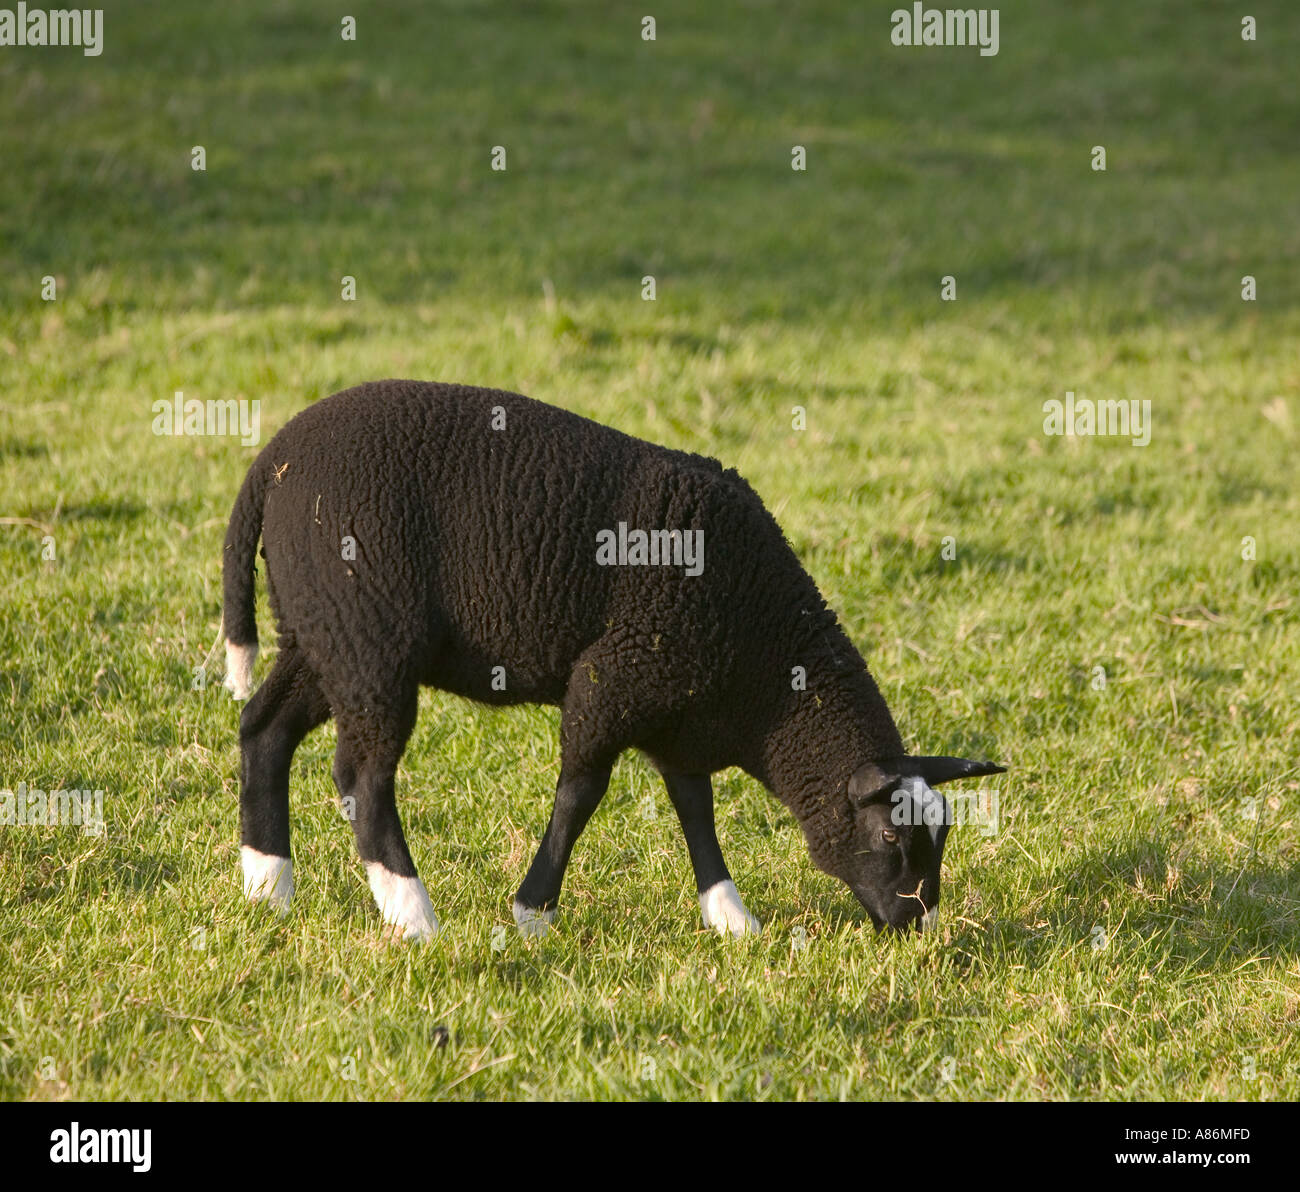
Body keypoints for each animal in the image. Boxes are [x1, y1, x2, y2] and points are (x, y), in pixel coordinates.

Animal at [223, 380, 1003, 941]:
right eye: (891, 836)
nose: (919, 925)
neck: (768, 676)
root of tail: (273, 463)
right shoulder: (613, 681)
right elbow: (581, 794)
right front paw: (533, 912)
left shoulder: (678, 707)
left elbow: (695, 807)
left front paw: (730, 916)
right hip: (369, 634)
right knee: (362, 775)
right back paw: (411, 913)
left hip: (321, 631)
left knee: (265, 732)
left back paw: (267, 887)